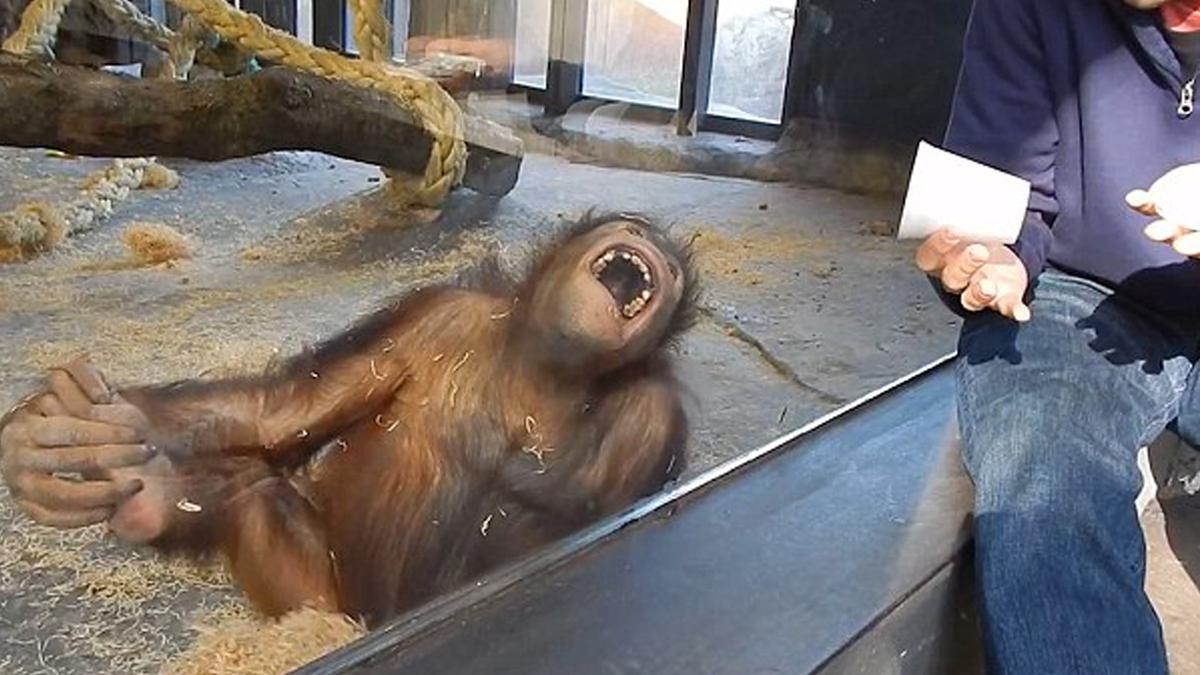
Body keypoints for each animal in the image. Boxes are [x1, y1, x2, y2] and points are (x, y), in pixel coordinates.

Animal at [0, 214, 698, 627]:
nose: (650, 246)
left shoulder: (653, 418)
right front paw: (47, 434)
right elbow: (283, 411)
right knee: (252, 487)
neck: (547, 367)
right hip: (325, 598)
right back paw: (152, 495)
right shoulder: (433, 316)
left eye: (669, 264)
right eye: (630, 227)